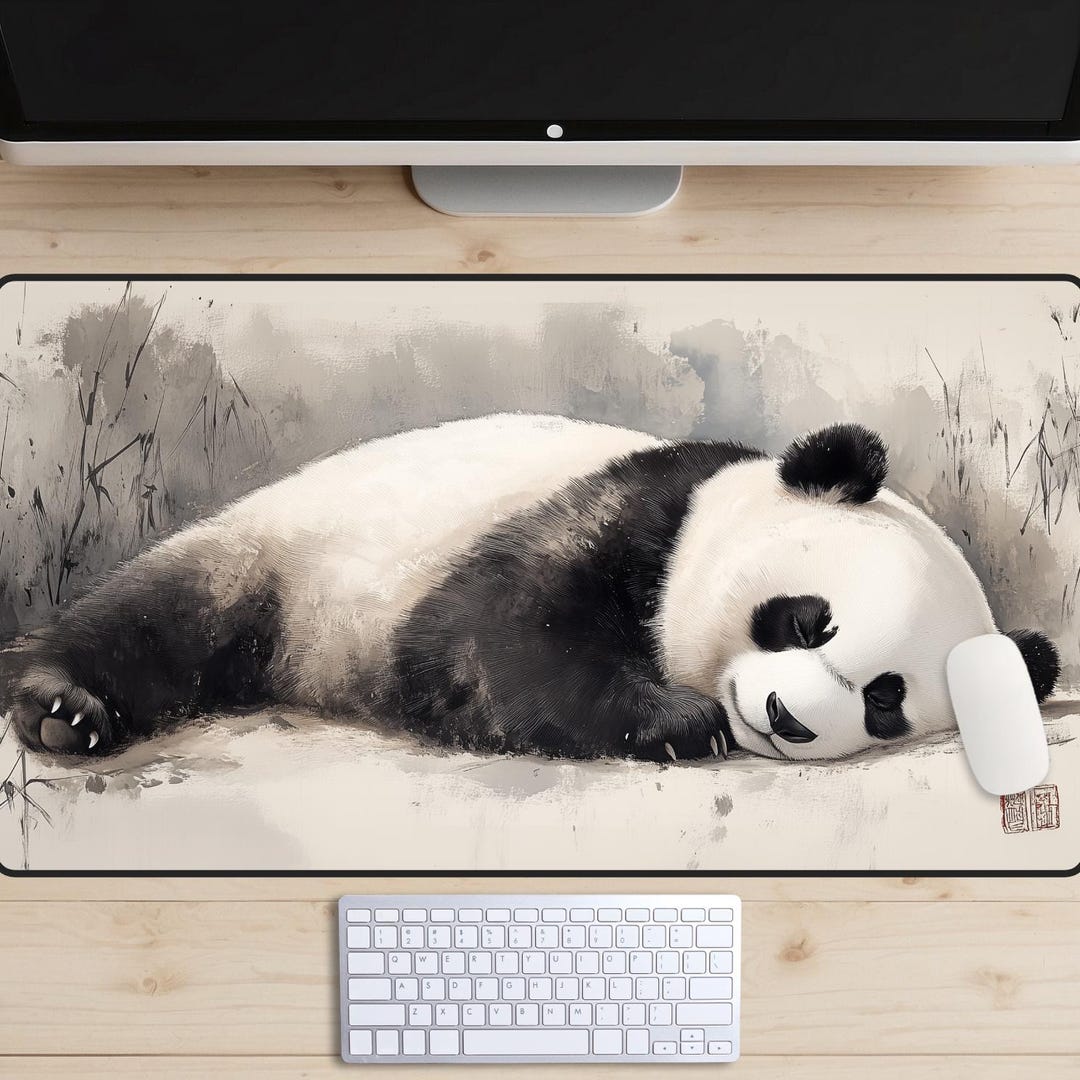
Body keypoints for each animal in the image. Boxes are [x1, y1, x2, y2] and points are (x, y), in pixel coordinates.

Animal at [9, 412, 1060, 764]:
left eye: (886, 701)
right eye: (806, 621)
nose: (785, 719)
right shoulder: (646, 513)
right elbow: (489, 635)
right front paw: (679, 723)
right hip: (280, 557)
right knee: (162, 619)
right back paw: (65, 709)